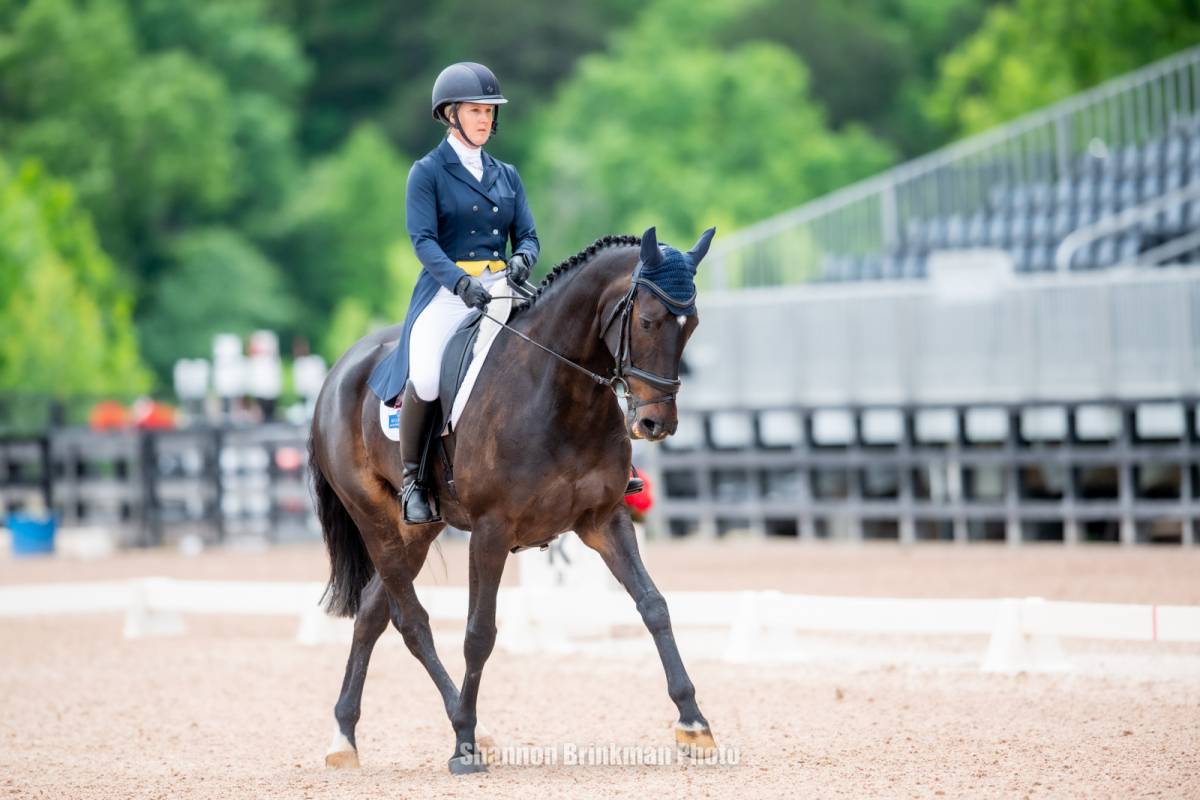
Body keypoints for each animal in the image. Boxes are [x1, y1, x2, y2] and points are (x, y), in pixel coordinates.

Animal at [308, 226, 717, 774]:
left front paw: (694, 724)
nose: (656, 424)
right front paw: (462, 745)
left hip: (419, 528)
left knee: (374, 611)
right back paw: (455, 729)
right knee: (410, 620)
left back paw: (346, 736)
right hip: (373, 516)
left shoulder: (605, 520)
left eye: (691, 326)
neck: (561, 392)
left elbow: (654, 606)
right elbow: (479, 633)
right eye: (648, 321)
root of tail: (339, 370)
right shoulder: (491, 530)